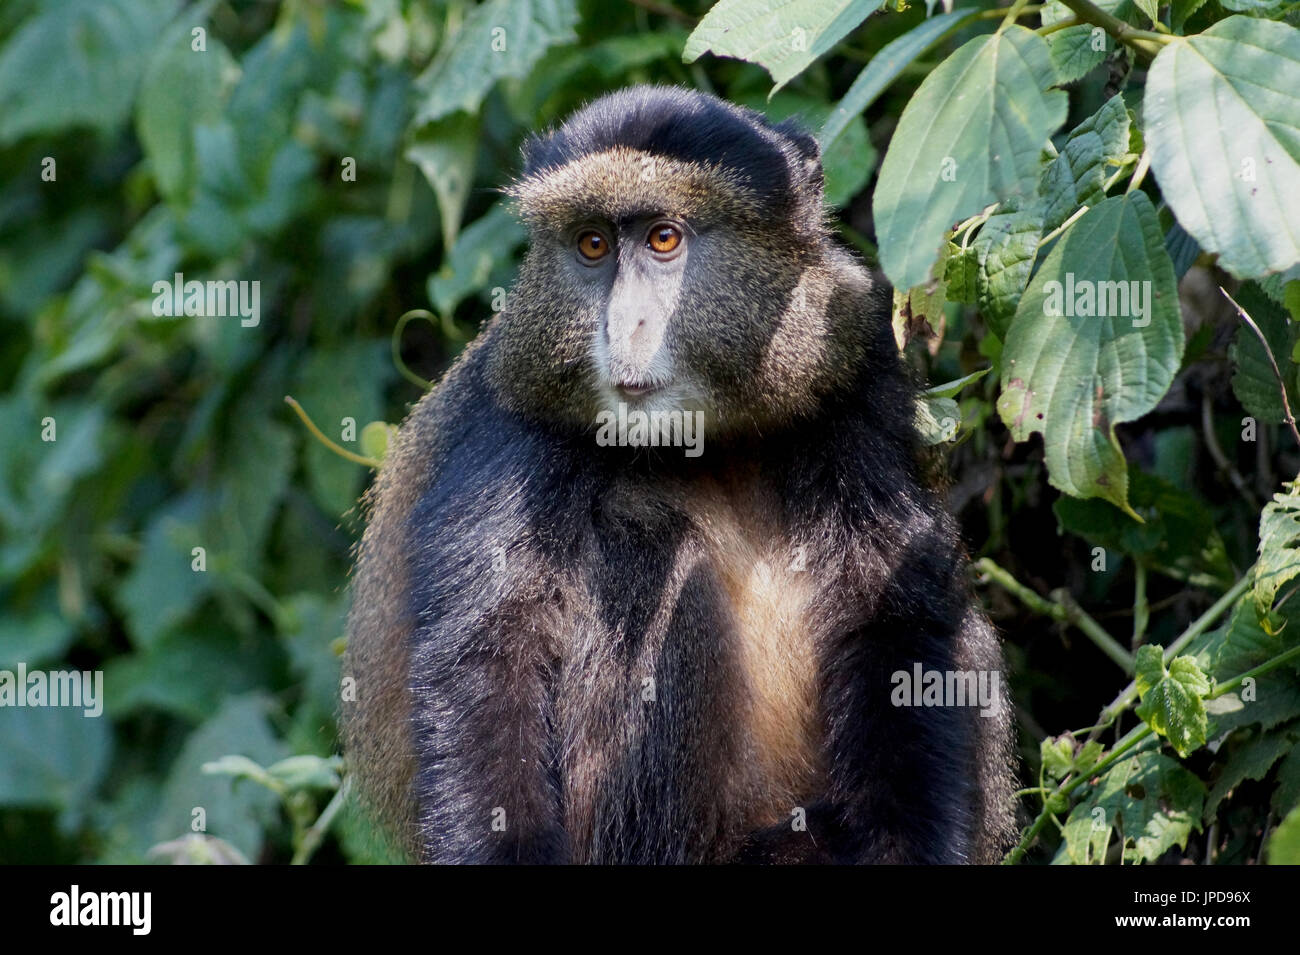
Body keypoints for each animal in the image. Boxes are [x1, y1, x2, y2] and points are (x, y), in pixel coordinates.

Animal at [343, 85, 1016, 864]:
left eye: (664, 239)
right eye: (593, 245)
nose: (622, 326)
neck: (703, 438)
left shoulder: (857, 364)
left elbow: (895, 604)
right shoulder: (509, 424)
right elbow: (484, 659)